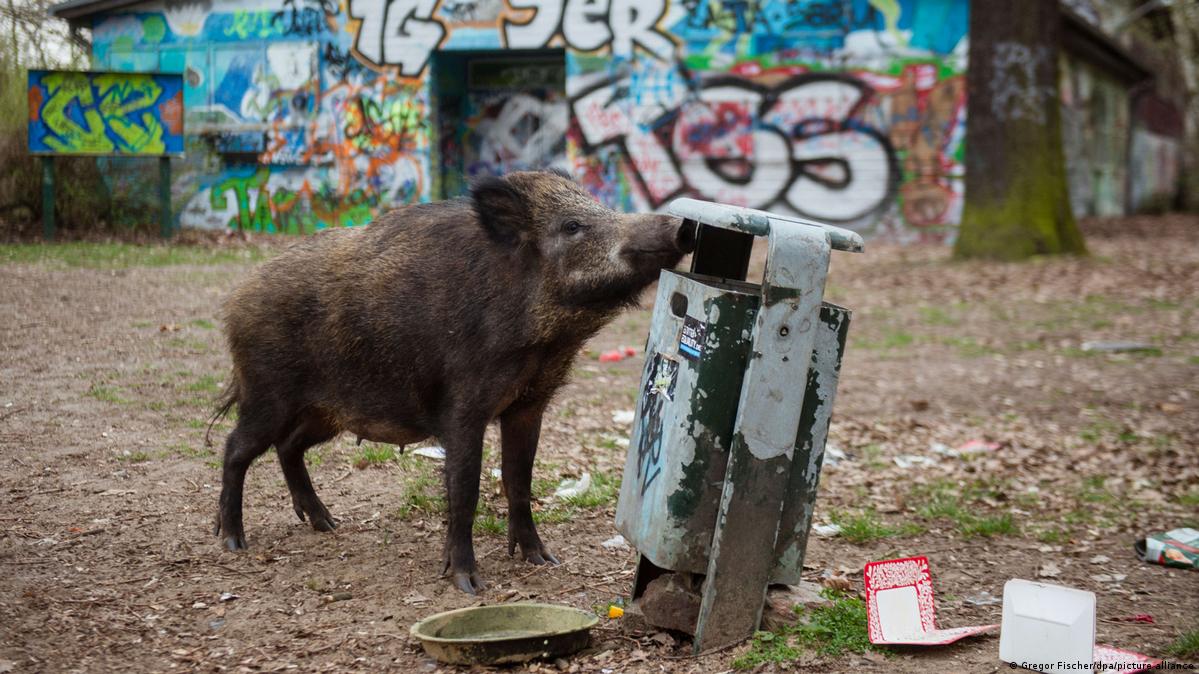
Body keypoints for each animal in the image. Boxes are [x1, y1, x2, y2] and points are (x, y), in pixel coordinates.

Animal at [210, 170, 695, 593]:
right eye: (572, 226)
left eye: (602, 207)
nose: (681, 225)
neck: (543, 341)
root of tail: (235, 299)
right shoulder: (462, 407)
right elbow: (465, 489)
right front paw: (468, 584)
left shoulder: (529, 404)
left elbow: (520, 481)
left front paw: (543, 560)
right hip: (268, 394)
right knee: (236, 447)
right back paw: (233, 540)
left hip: (325, 413)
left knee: (288, 447)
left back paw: (327, 524)